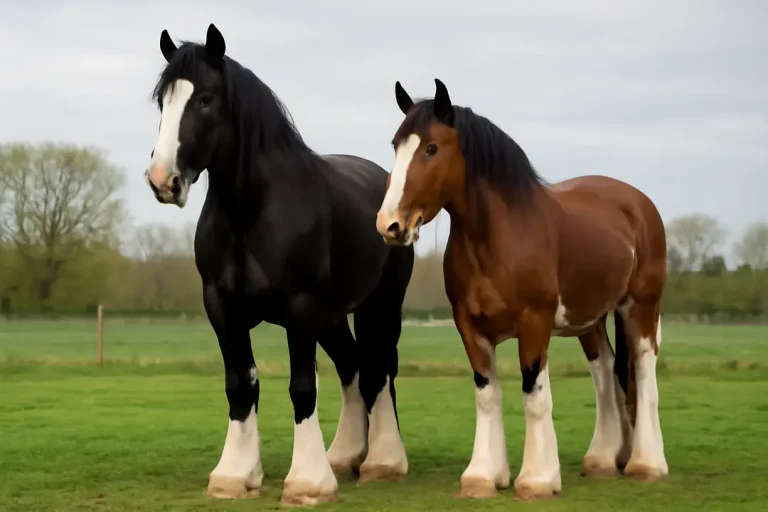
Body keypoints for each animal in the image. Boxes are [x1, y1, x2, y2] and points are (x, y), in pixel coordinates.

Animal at [144, 24, 414, 506]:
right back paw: (344, 455)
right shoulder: (222, 309)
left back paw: (383, 461)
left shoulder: (300, 308)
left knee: (378, 370)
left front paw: (307, 482)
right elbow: (240, 384)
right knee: (353, 366)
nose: (163, 180)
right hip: (331, 316)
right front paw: (235, 474)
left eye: (205, 99)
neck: (251, 212)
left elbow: (302, 387)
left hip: (380, 305)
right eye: (164, 101)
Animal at [375, 79, 668, 501]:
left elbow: (534, 394)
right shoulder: (470, 327)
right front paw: (483, 475)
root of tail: (639, 203)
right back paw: (603, 459)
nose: (390, 224)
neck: (499, 237)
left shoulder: (534, 322)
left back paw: (647, 464)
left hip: (641, 305)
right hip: (590, 319)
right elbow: (487, 394)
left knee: (644, 371)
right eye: (396, 146)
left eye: (431, 148)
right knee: (605, 371)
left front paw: (537, 479)